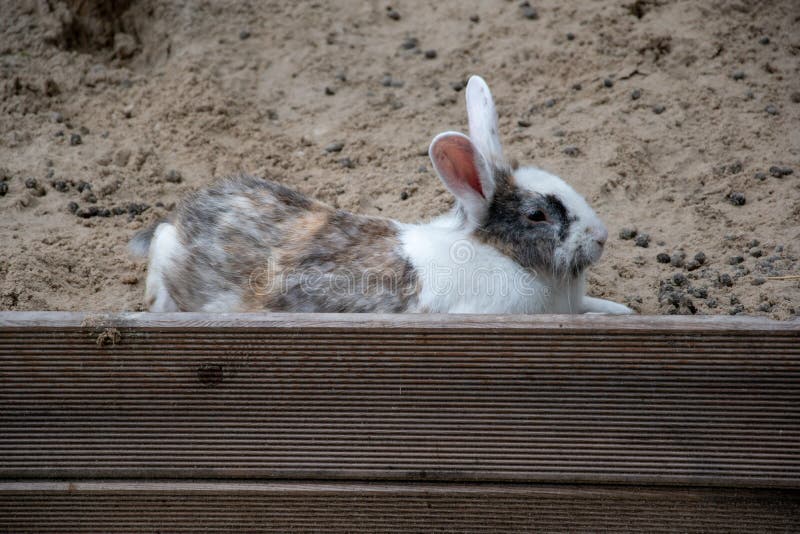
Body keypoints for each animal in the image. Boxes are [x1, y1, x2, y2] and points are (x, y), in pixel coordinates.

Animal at [130, 75, 632, 314]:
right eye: (536, 216)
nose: (603, 237)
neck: (500, 253)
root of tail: (184, 221)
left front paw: (622, 310)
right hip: (173, 266)